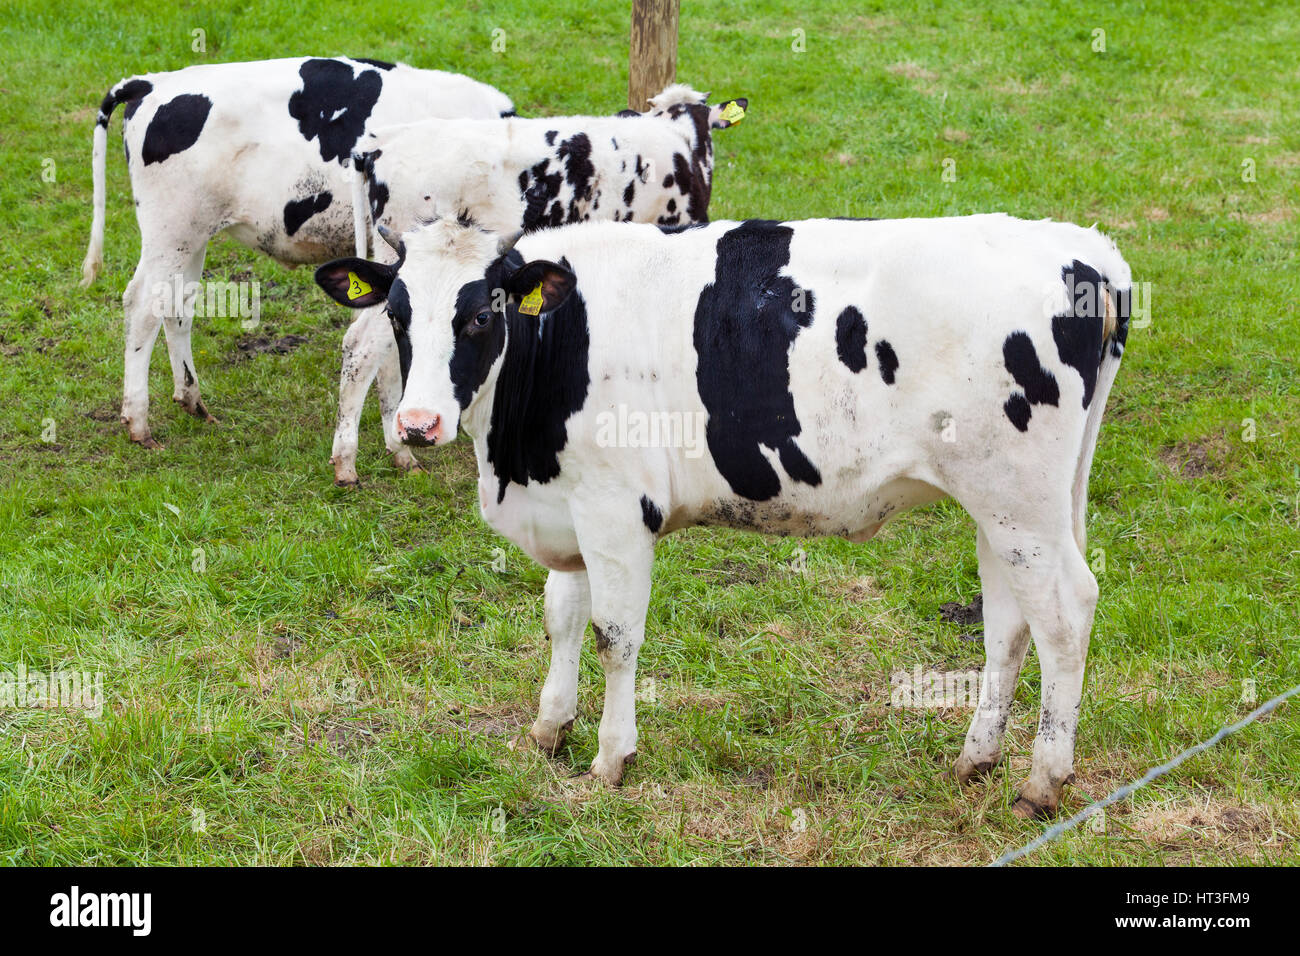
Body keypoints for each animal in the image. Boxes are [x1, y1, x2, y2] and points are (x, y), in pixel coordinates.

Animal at [80, 56, 514, 449]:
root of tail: (150, 82)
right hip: (169, 232)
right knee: (142, 306)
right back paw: (138, 422)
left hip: (190, 236)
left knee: (176, 304)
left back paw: (192, 400)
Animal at [313, 214, 1131, 818]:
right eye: (396, 312)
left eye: (483, 313)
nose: (418, 424)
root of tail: (1087, 251)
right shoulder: (571, 504)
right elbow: (561, 617)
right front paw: (549, 729)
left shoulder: (616, 511)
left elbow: (614, 637)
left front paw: (609, 759)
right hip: (1010, 509)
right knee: (1009, 623)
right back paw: (977, 757)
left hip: (1019, 501)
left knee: (1067, 614)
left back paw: (1042, 782)